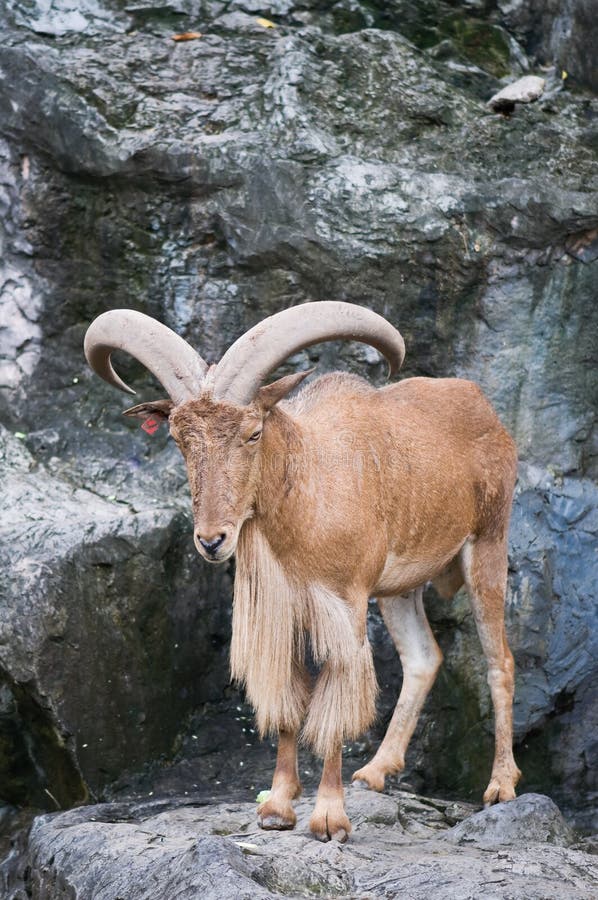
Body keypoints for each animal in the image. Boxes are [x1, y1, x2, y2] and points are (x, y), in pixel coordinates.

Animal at [84, 301, 520, 842]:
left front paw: (329, 818)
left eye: (253, 432)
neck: (305, 493)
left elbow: (333, 702)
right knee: (424, 657)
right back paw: (376, 771)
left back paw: (501, 786)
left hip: (487, 545)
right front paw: (277, 806)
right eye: (179, 439)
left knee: (500, 662)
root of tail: (484, 407)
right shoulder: (285, 611)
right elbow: (290, 700)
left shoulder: (344, 606)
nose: (211, 541)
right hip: (398, 588)